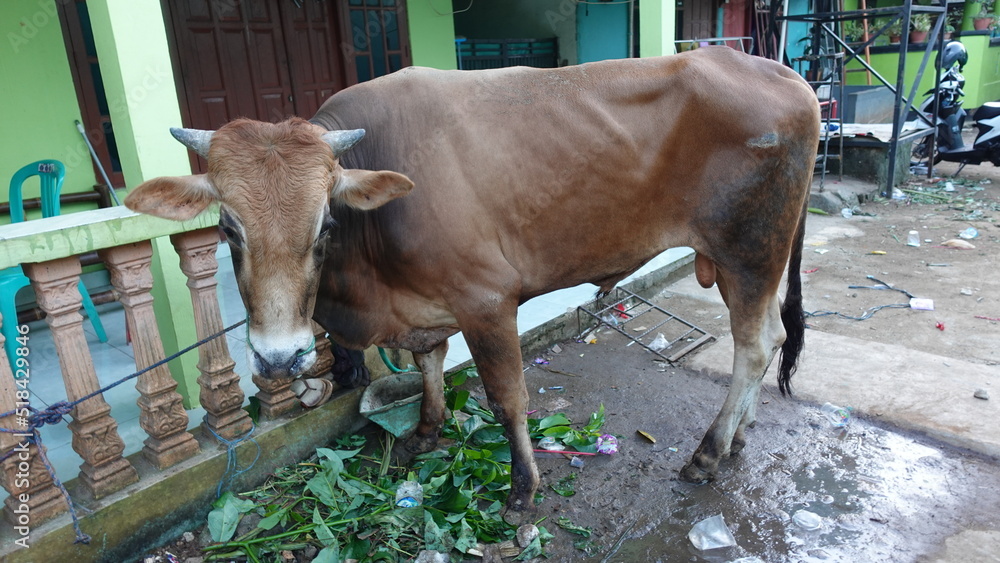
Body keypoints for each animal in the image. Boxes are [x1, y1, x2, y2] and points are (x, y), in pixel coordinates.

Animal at [125, 47, 818, 521]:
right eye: (226, 228)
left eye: (326, 224)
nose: (279, 357)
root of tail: (781, 72)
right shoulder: (424, 306)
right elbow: (429, 363)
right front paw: (427, 433)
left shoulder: (487, 302)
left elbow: (507, 398)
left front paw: (522, 488)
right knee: (772, 336)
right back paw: (740, 435)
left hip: (748, 254)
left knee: (754, 345)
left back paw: (708, 452)